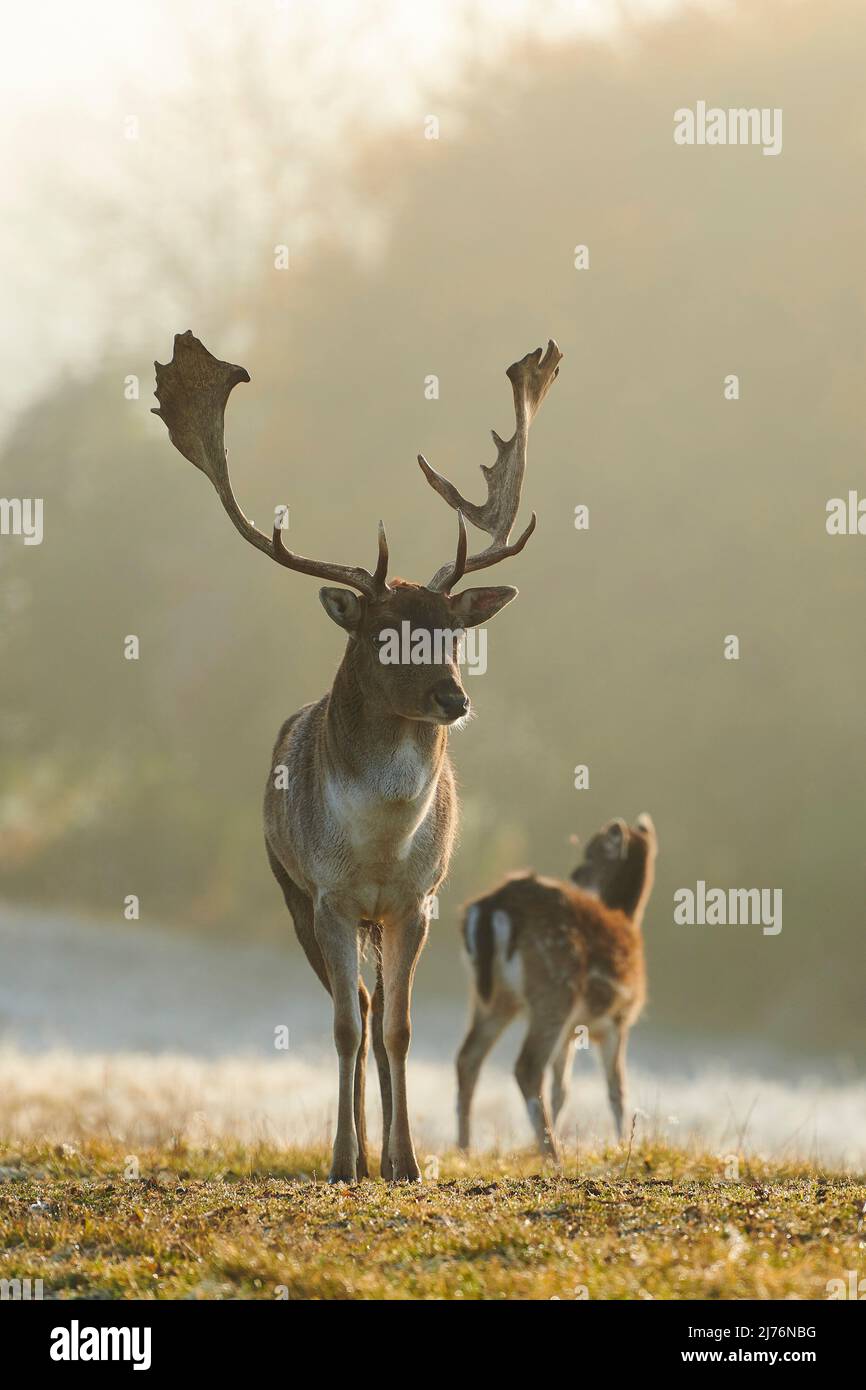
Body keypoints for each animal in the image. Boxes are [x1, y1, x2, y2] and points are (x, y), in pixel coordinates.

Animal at [152, 330, 562, 1182]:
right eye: (382, 632)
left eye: (453, 629)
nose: (453, 698)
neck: (377, 847)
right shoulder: (329, 897)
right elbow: (345, 1025)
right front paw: (346, 1159)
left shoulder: (418, 900)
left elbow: (400, 1029)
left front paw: (408, 1163)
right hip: (289, 891)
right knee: (355, 1012)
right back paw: (359, 1150)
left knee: (378, 1018)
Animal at [456, 814, 657, 1161]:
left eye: (590, 853)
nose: (575, 875)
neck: (629, 918)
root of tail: (493, 904)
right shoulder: (620, 1018)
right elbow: (617, 1088)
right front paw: (622, 1145)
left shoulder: (572, 1032)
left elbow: (561, 1089)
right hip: (554, 990)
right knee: (527, 1066)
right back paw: (553, 1157)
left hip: (492, 997)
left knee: (468, 1057)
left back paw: (465, 1150)